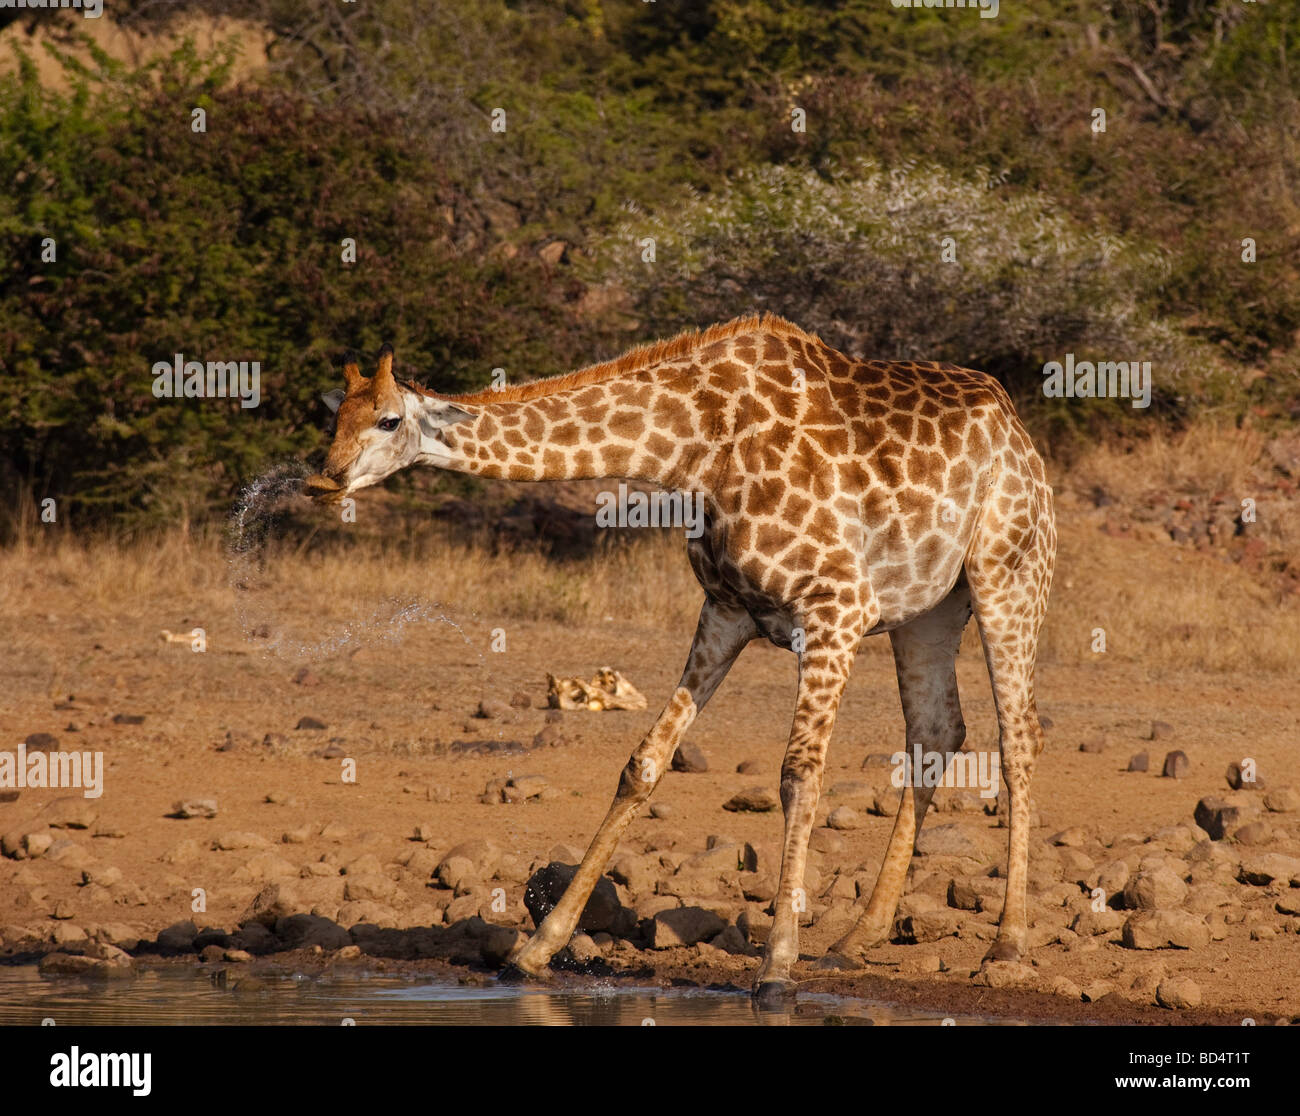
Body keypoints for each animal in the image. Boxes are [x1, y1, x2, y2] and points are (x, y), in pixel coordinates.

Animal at [305, 316, 1056, 1000]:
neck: (699, 446)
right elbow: (644, 764)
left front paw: (776, 968)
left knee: (1019, 737)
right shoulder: (724, 612)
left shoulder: (836, 609)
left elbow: (799, 777)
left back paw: (1006, 943)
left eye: (388, 420)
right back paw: (857, 936)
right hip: (927, 608)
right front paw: (535, 952)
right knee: (937, 729)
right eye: (332, 416)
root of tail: (1018, 428)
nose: (323, 480)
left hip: (1007, 575)